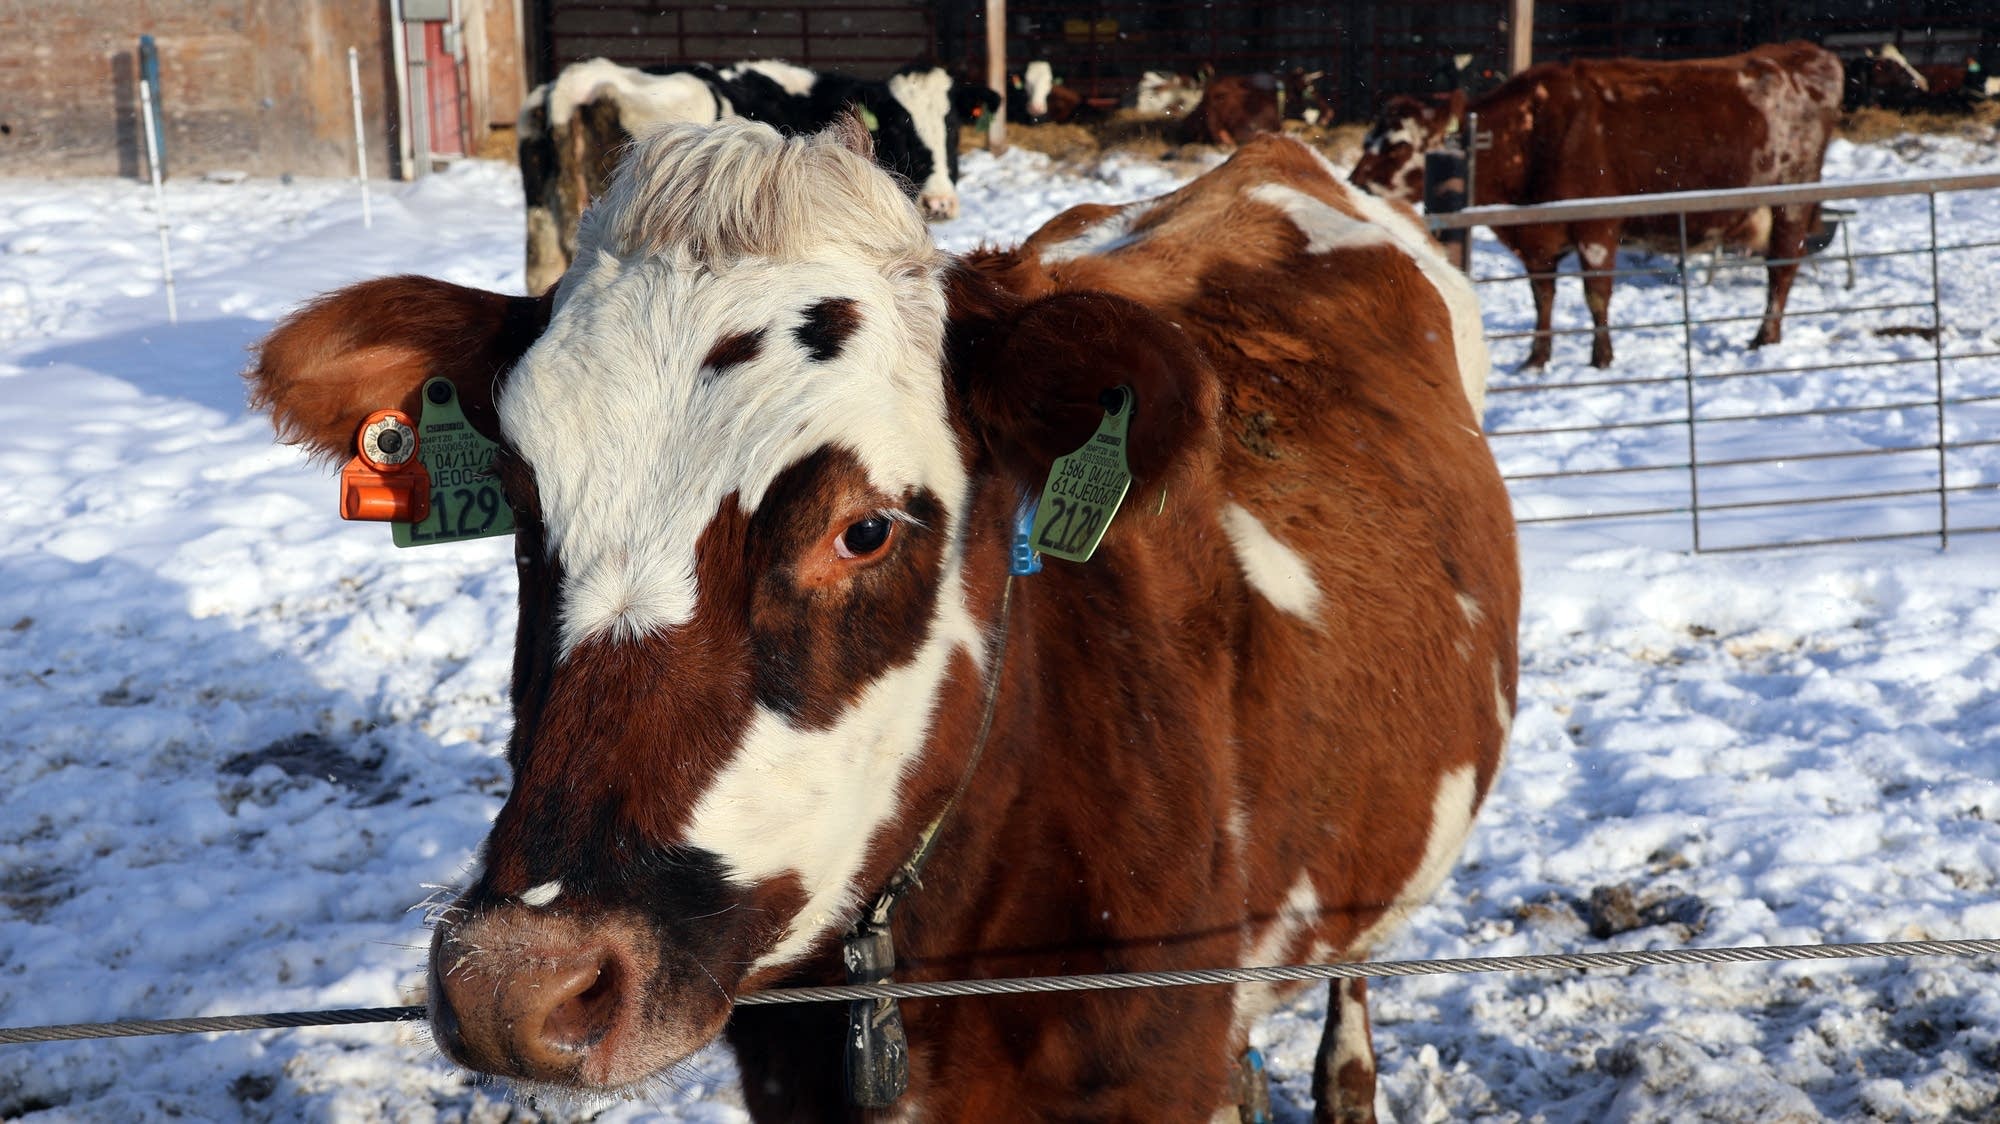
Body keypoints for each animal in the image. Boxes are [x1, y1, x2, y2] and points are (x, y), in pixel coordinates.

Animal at [1351, 42, 1843, 368]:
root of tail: (1801, 52)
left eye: (1398, 146)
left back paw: (1765, 339)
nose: (1354, 184)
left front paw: (1601, 357)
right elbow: (1542, 296)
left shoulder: (1597, 224)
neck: (1531, 132)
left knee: (1782, 269)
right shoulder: (1537, 238)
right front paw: (1537, 358)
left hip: (1791, 200)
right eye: (1367, 139)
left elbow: (1596, 295)